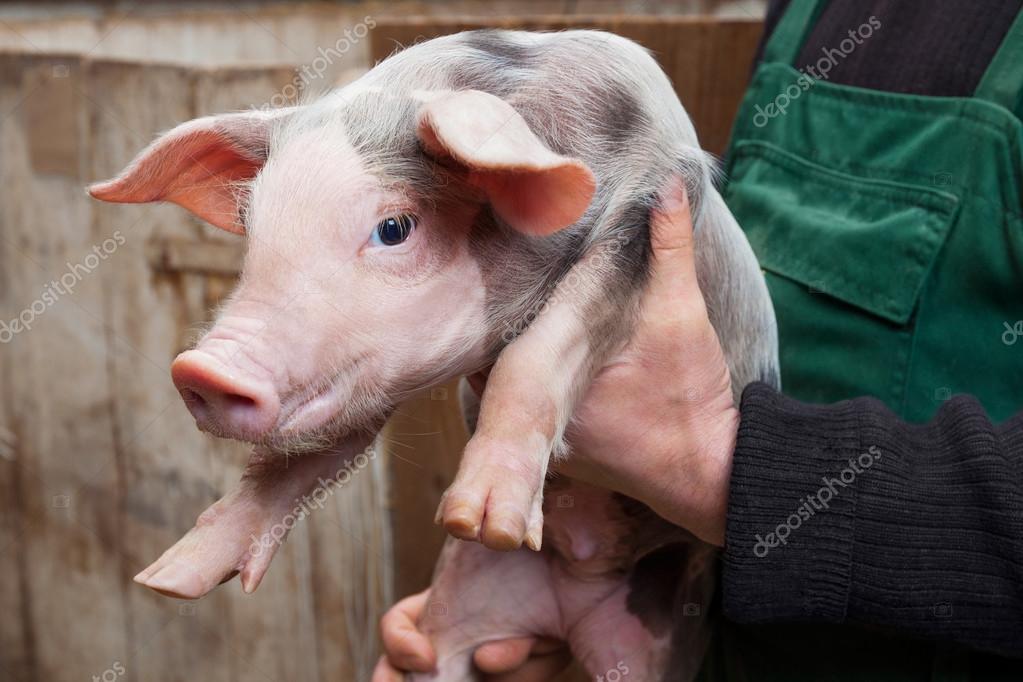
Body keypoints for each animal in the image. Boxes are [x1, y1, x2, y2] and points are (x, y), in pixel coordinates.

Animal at [90, 28, 778, 680]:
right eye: (255, 229)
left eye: (394, 228)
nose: (203, 368)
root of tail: (576, 590)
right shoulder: (367, 373)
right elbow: (302, 459)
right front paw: (165, 580)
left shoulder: (647, 213)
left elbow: (541, 348)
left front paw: (482, 521)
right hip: (468, 609)